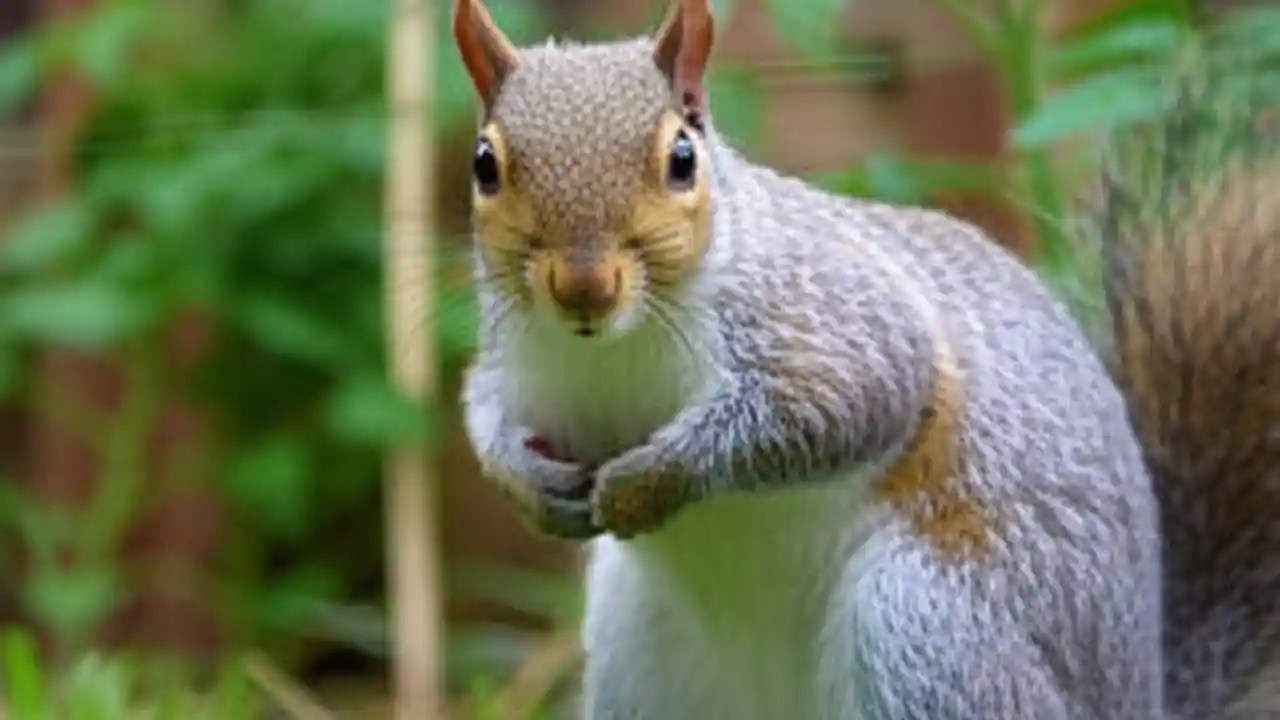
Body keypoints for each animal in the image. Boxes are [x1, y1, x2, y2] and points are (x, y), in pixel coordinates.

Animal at [452, 0, 1280, 718]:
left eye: (682, 159)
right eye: (485, 163)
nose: (583, 286)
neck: (612, 344)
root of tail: (1143, 699)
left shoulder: (834, 323)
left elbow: (837, 406)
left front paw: (651, 477)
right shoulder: (512, 360)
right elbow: (484, 412)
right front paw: (525, 482)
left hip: (935, 627)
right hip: (640, 654)